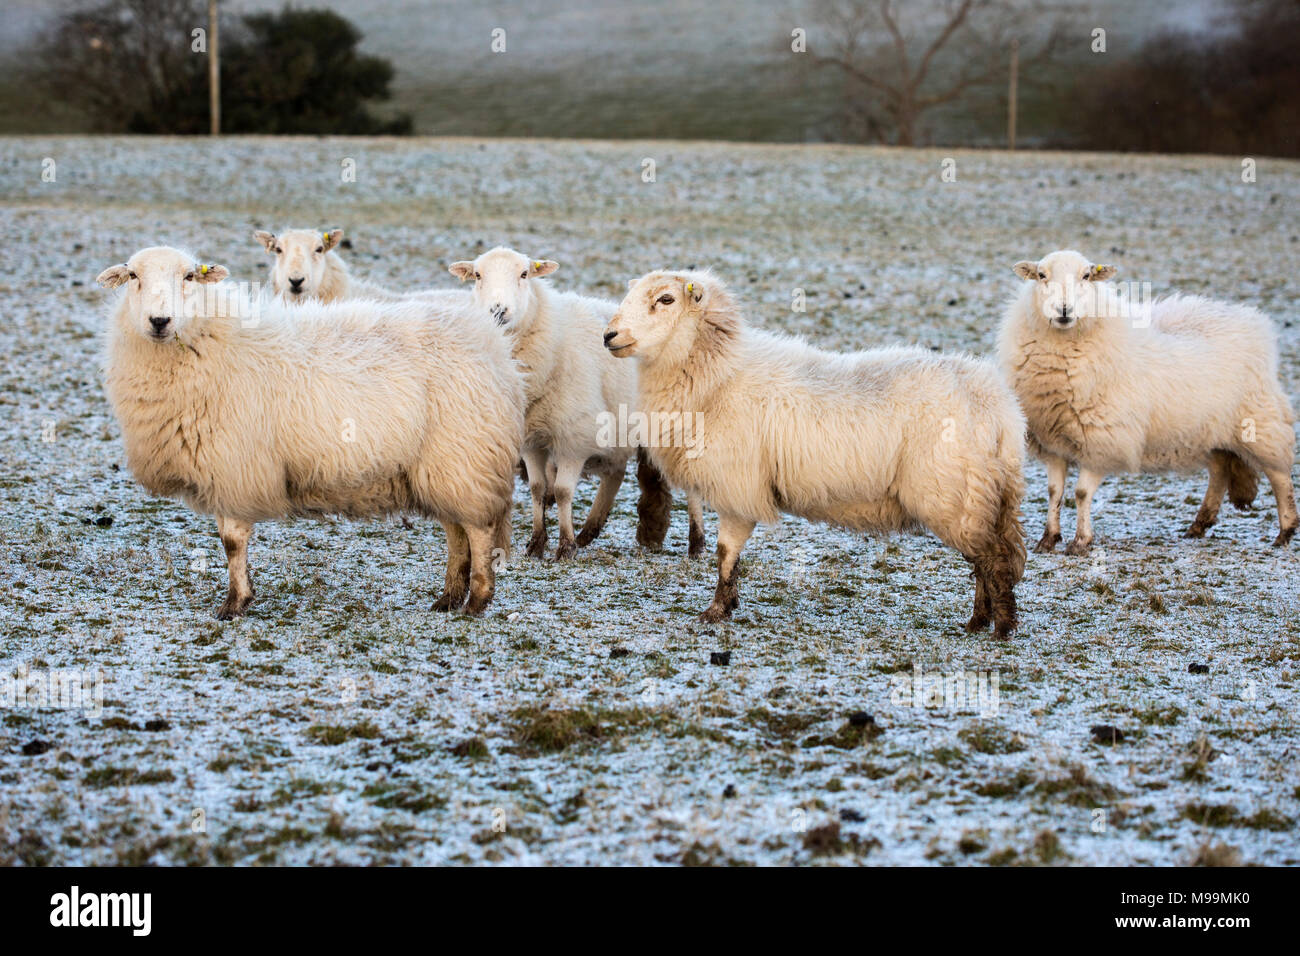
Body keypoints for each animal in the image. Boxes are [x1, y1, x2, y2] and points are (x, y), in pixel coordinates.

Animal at [97, 246, 524, 618]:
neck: (212, 339)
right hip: (442, 465)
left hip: (463, 454)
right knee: (456, 531)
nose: (159, 321)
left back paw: (477, 601)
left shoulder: (234, 466)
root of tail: (491, 344)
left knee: (478, 530)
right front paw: (241, 598)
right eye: (133, 276)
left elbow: (232, 543)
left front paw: (234, 605)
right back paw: (448, 598)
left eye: (188, 276)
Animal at [449, 246, 707, 559]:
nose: (498, 311)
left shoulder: (574, 437)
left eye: (524, 274)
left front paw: (565, 546)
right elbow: (537, 488)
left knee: (689, 484)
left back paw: (696, 542)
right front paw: (537, 543)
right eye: (477, 275)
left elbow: (562, 491)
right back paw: (591, 530)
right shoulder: (531, 440)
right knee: (615, 473)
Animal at [605, 269, 1027, 639]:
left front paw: (715, 611)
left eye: (666, 299)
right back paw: (978, 621)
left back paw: (1001, 627)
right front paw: (727, 606)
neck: (718, 374)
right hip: (979, 498)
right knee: (986, 560)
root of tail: (998, 403)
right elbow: (730, 556)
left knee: (993, 560)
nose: (609, 335)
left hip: (955, 495)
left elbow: (726, 553)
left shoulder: (738, 488)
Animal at [998, 249, 1298, 554]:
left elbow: (1081, 494)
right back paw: (1199, 525)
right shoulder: (1053, 440)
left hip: (1259, 422)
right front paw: (1048, 539)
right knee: (1219, 473)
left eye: (1086, 275)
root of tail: (1251, 319)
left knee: (1279, 476)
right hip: (1211, 431)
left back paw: (1285, 531)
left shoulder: (1102, 439)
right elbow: (1054, 492)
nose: (1064, 310)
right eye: (1041, 275)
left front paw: (1081, 541)